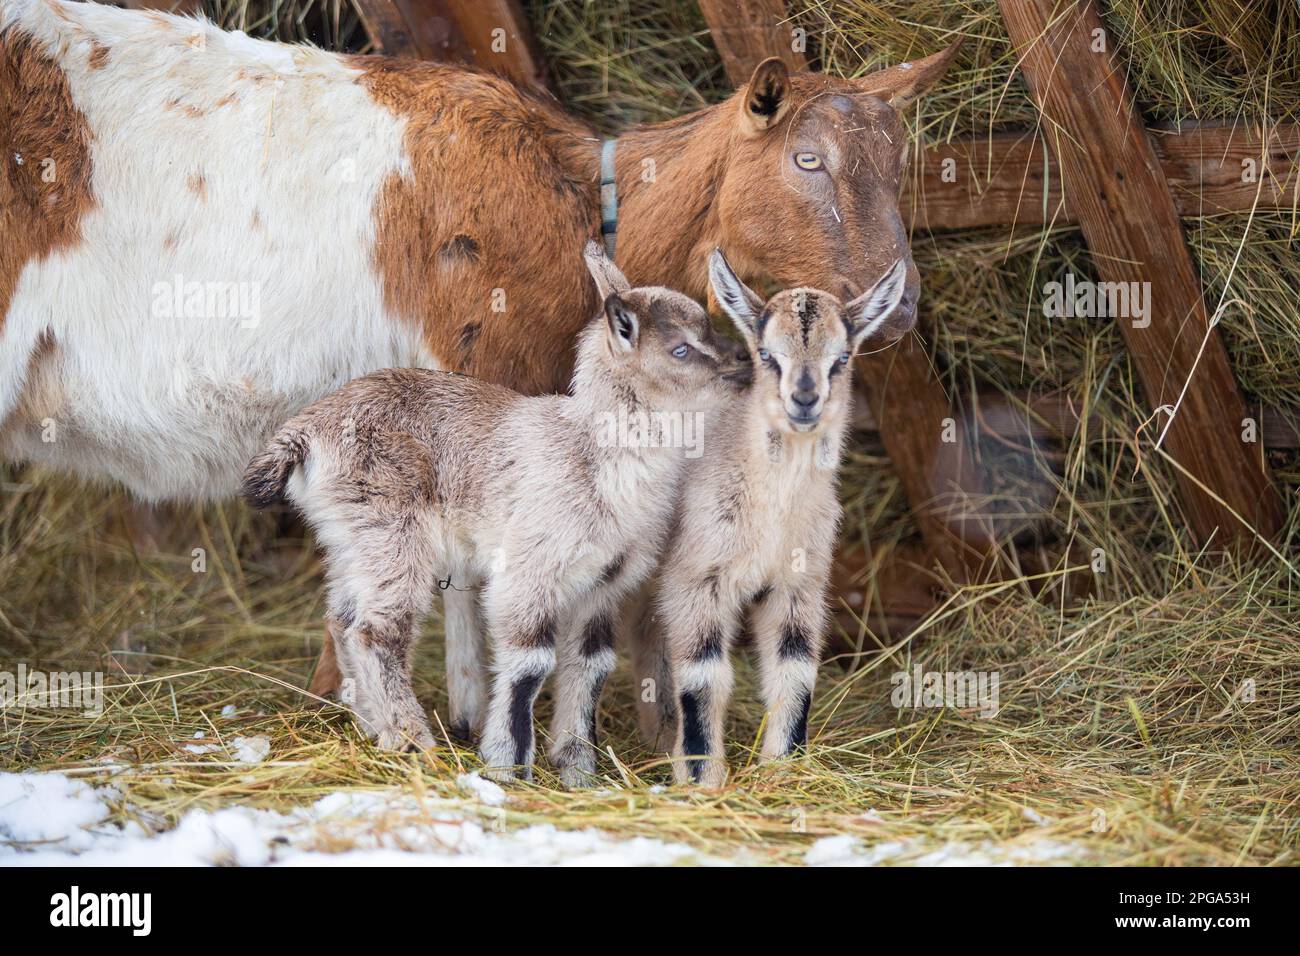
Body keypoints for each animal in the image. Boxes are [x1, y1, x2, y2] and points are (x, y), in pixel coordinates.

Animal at [242, 244, 735, 780]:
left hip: (351, 537)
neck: (593, 451)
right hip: (392, 532)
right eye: (681, 349)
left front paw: (577, 766)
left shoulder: (602, 584)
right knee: (377, 632)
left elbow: (590, 663)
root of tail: (305, 434)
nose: (740, 368)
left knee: (342, 620)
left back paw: (377, 729)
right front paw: (507, 763)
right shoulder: (527, 569)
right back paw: (415, 742)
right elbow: (529, 663)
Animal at [651, 250, 907, 787]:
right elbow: (703, 675)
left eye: (842, 358)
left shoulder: (798, 585)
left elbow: (795, 672)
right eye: (767, 356)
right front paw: (704, 777)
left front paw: (783, 767)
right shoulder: (695, 578)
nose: (804, 400)